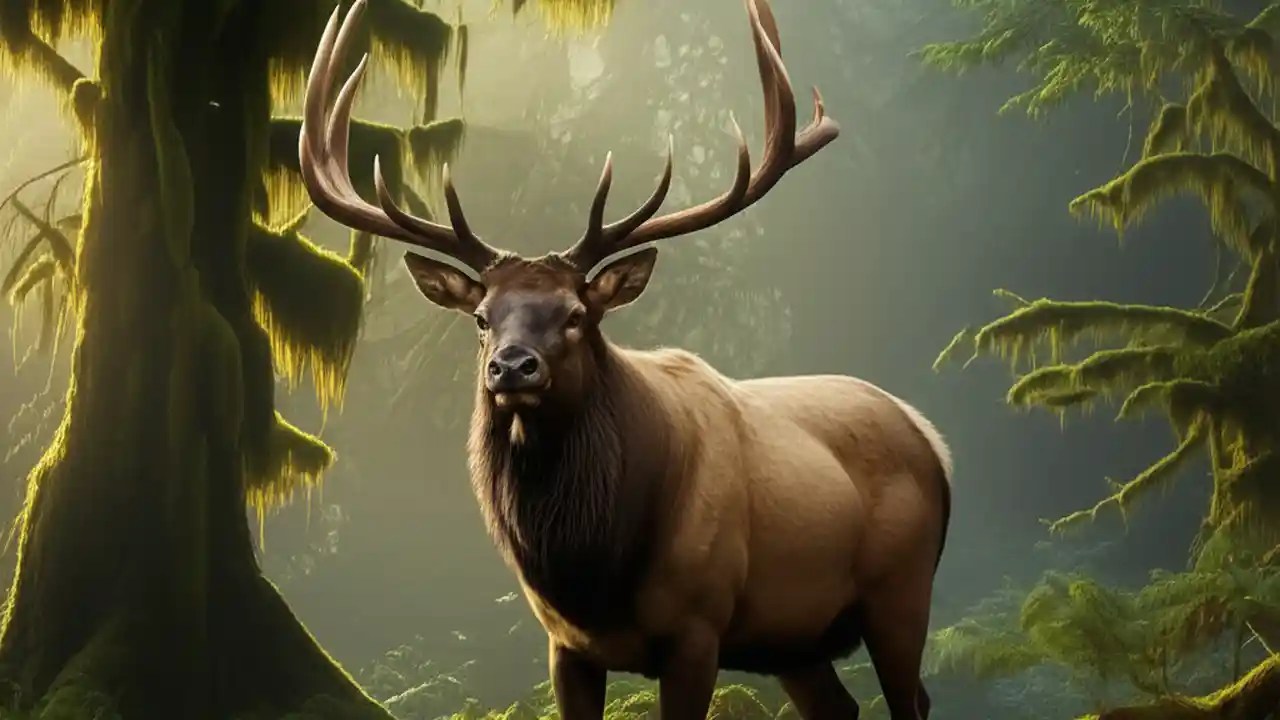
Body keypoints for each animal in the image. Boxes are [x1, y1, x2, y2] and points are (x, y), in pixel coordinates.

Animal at [299, 1, 951, 718]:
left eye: (577, 314)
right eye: (481, 318)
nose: (512, 367)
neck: (595, 574)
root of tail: (930, 438)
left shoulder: (698, 624)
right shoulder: (564, 643)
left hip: (901, 588)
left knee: (913, 697)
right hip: (794, 638)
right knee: (841, 706)